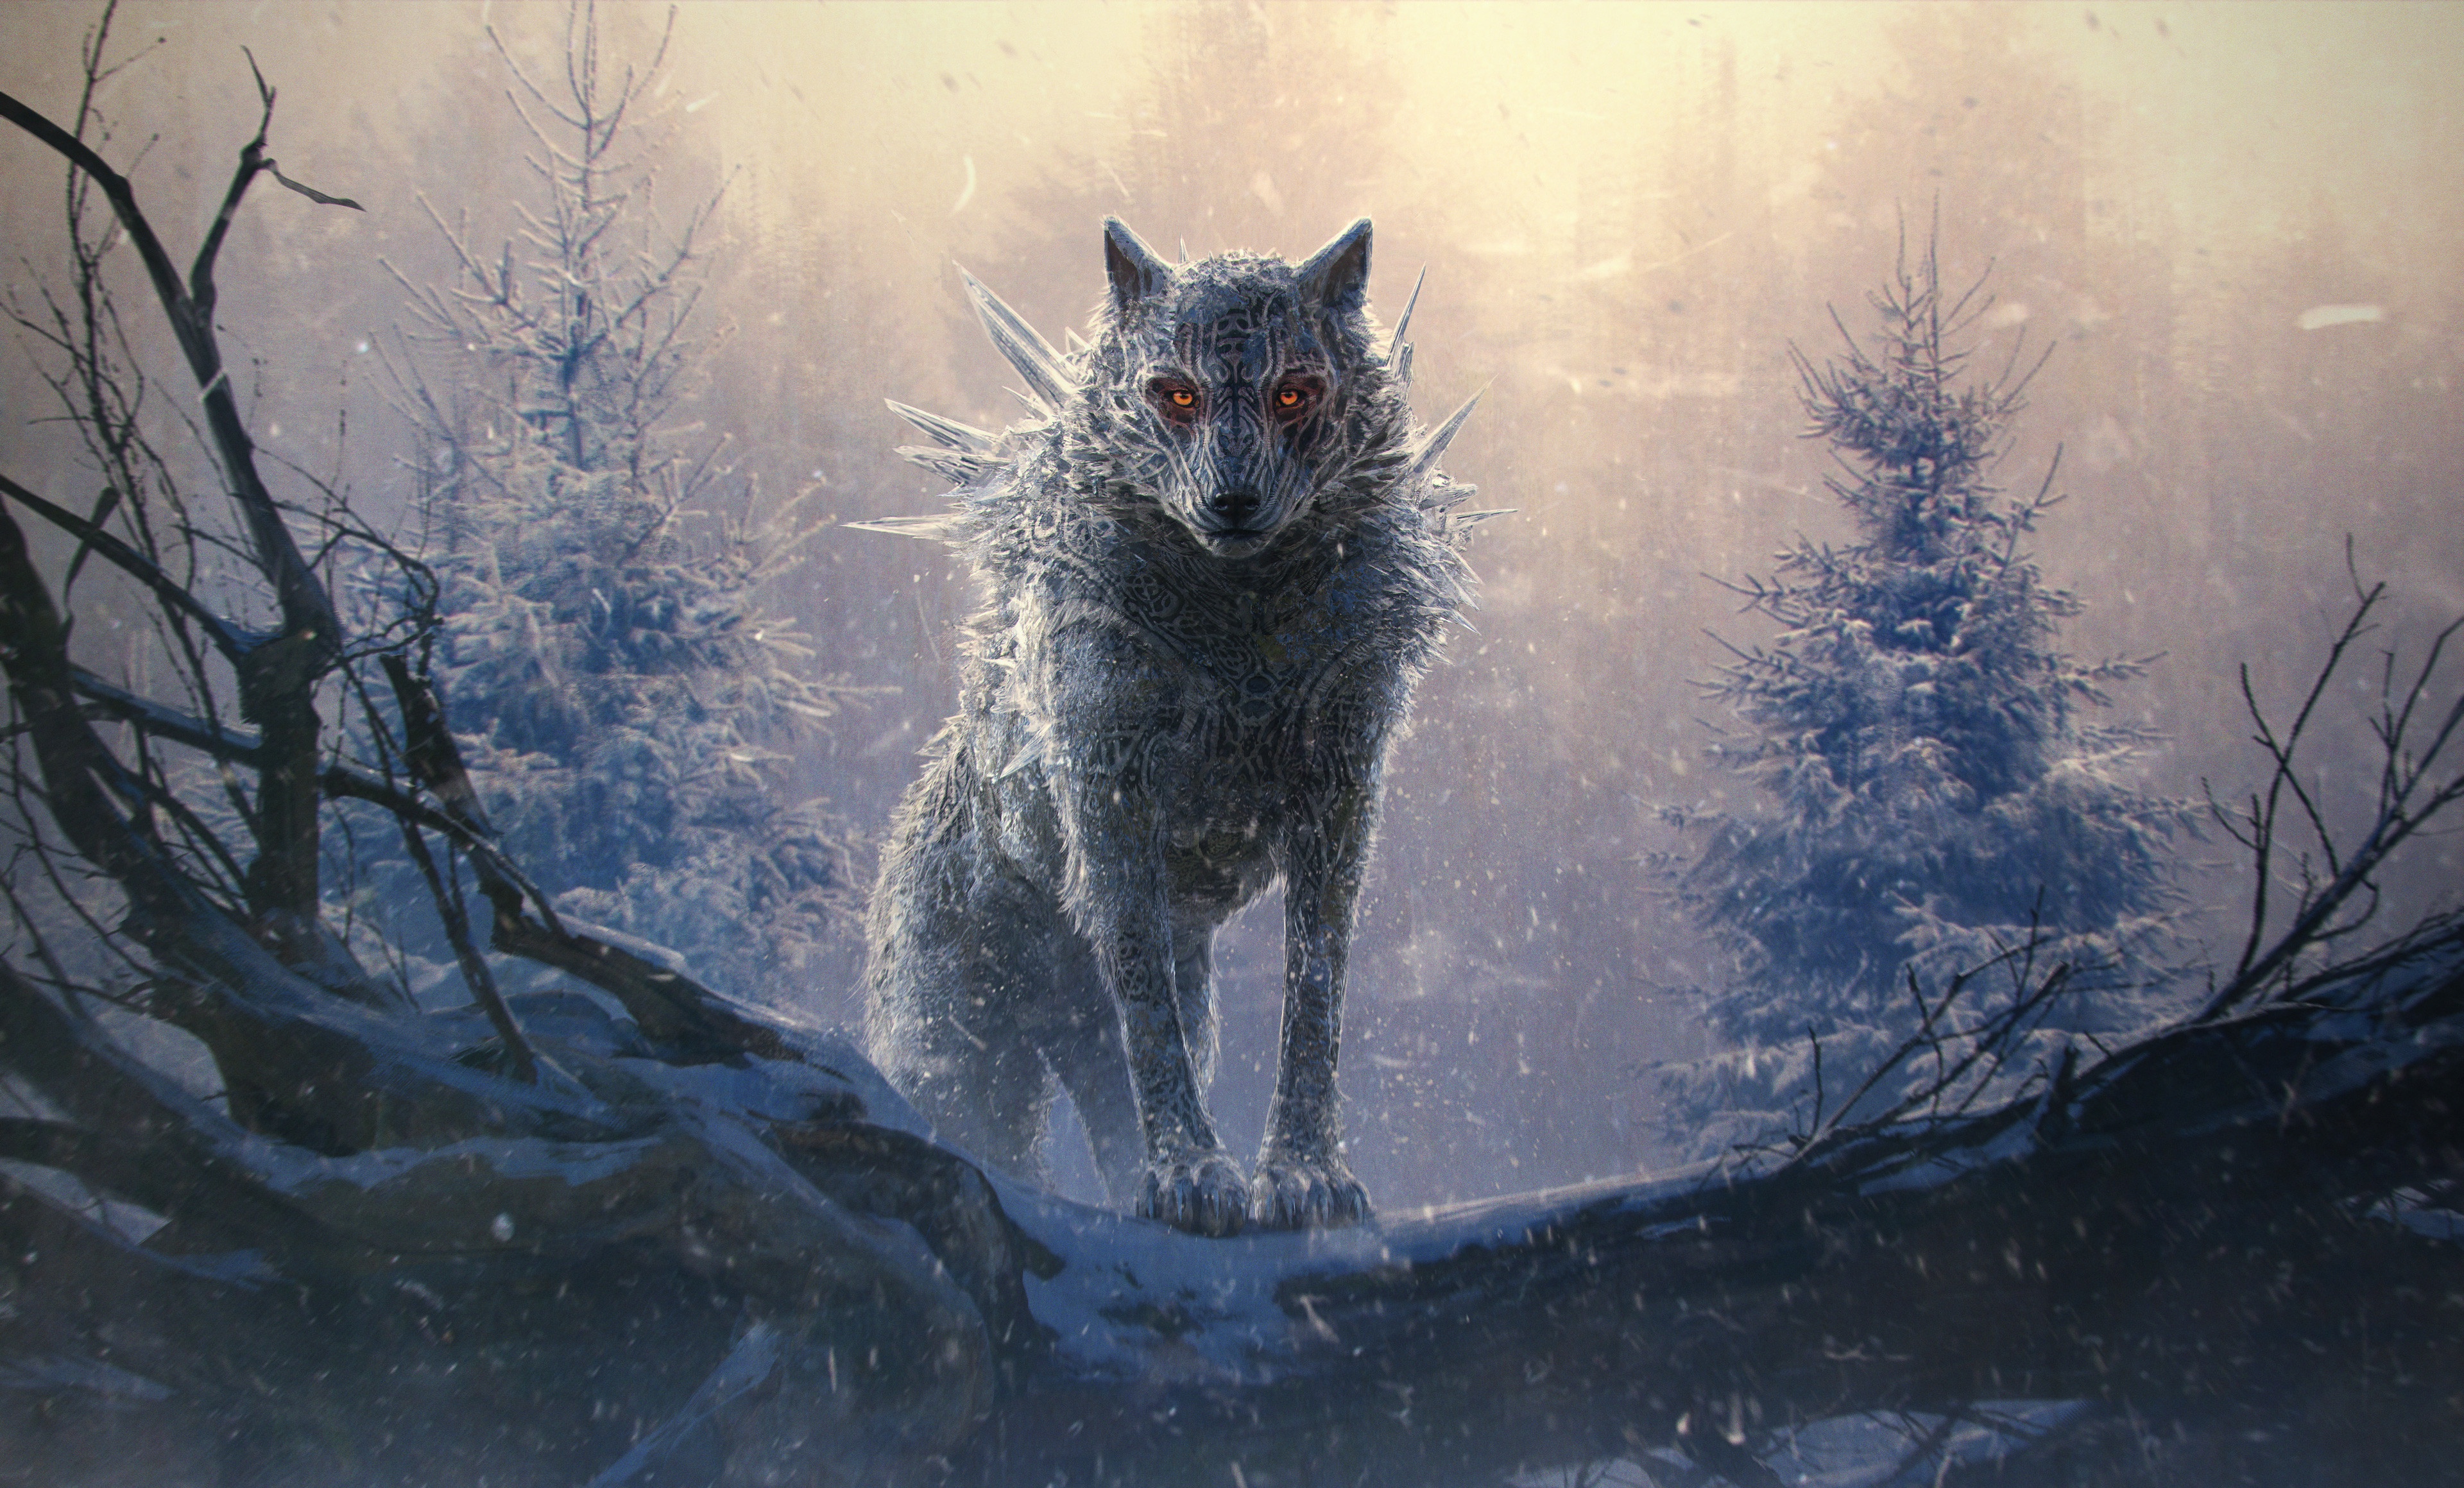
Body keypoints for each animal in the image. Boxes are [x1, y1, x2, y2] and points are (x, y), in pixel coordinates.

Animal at [859, 217, 1490, 1234]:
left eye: (1291, 391)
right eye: (1177, 393)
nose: (1232, 501)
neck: (1240, 619)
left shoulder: (1340, 797)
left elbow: (1316, 988)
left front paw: (1303, 1178)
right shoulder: (1111, 804)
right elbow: (1147, 1008)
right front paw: (1193, 1175)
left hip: (1087, 1021)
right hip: (962, 1046)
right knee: (983, 1116)